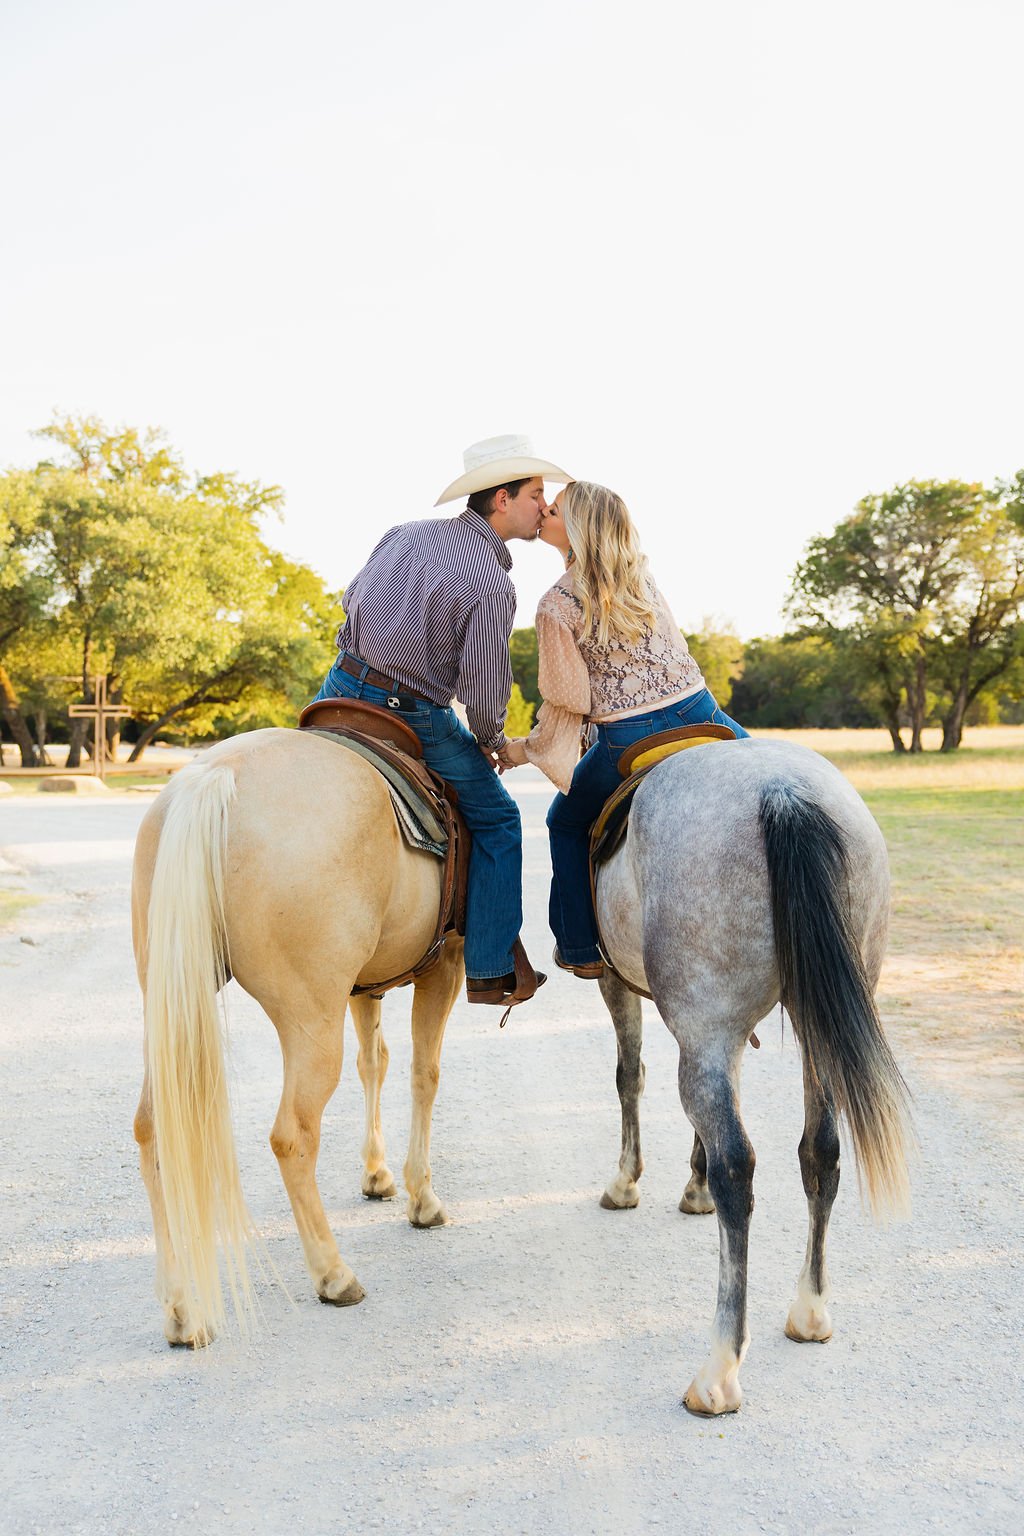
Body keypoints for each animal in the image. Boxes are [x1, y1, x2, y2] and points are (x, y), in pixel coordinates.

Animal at [131, 726, 465, 1346]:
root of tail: (217, 776)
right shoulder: (444, 965)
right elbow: (423, 1074)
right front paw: (422, 1197)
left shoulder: (362, 986)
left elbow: (375, 1062)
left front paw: (377, 1174)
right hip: (310, 1021)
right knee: (293, 1136)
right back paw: (334, 1275)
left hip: (167, 1004)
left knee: (153, 1129)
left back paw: (182, 1310)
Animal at [592, 737, 912, 1416]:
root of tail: (781, 793)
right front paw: (694, 1189)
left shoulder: (624, 984)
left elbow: (629, 1073)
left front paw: (627, 1180)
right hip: (815, 1031)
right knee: (820, 1152)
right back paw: (810, 1310)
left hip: (710, 1028)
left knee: (738, 1167)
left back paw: (718, 1371)